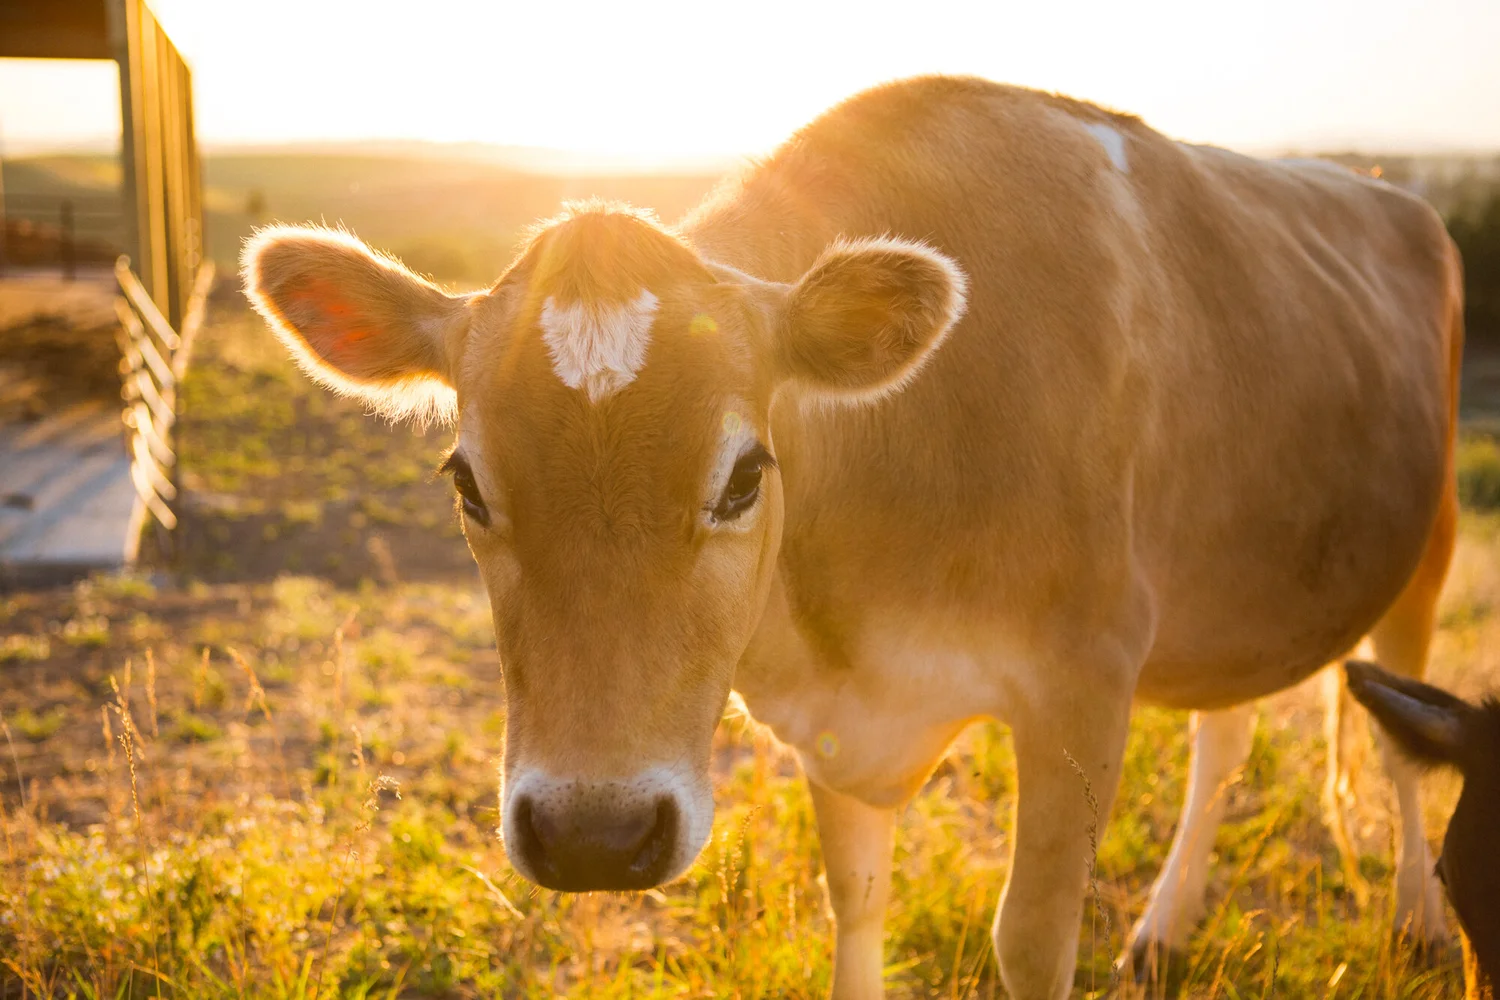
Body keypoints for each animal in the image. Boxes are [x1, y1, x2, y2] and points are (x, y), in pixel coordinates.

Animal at [242, 76, 1463, 999]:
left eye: (744, 475)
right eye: (467, 482)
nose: (594, 834)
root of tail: (1390, 195)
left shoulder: (1084, 680)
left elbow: (1028, 942)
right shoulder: (832, 721)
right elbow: (856, 904)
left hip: (1429, 542)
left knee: (1401, 732)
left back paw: (1419, 921)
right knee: (1227, 735)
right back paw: (1166, 926)